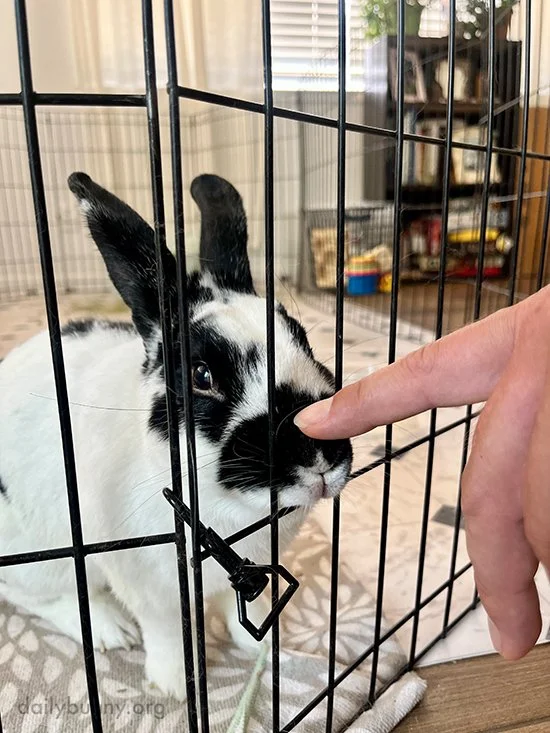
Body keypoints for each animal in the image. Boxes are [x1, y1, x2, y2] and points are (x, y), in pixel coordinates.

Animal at [0, 171, 352, 699]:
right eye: (202, 375)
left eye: (303, 338)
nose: (320, 455)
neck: (227, 516)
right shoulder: (150, 587)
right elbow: (167, 631)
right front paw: (175, 686)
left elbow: (247, 611)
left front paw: (270, 653)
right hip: (41, 558)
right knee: (39, 597)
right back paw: (110, 631)